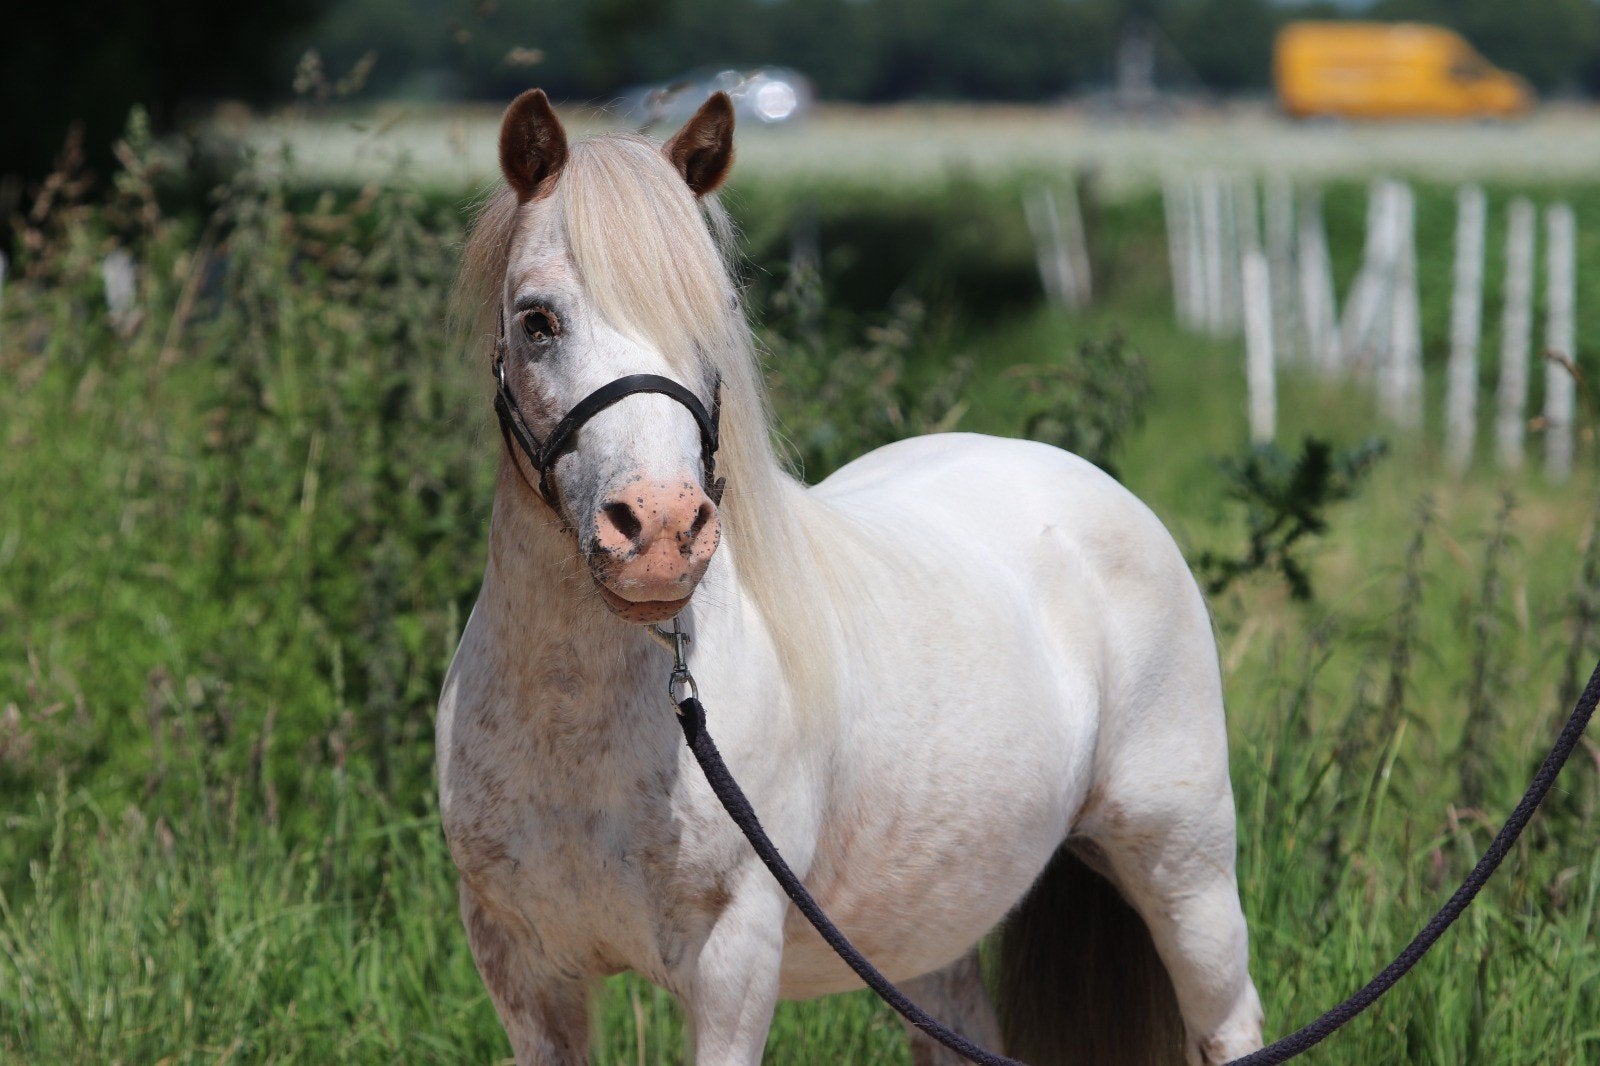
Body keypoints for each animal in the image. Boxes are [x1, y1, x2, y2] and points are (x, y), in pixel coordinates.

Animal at [437, 87, 1266, 1066]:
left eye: (713, 319)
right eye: (537, 320)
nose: (663, 530)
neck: (580, 730)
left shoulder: (731, 966)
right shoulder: (524, 971)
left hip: (1185, 870)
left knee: (1232, 1015)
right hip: (929, 940)